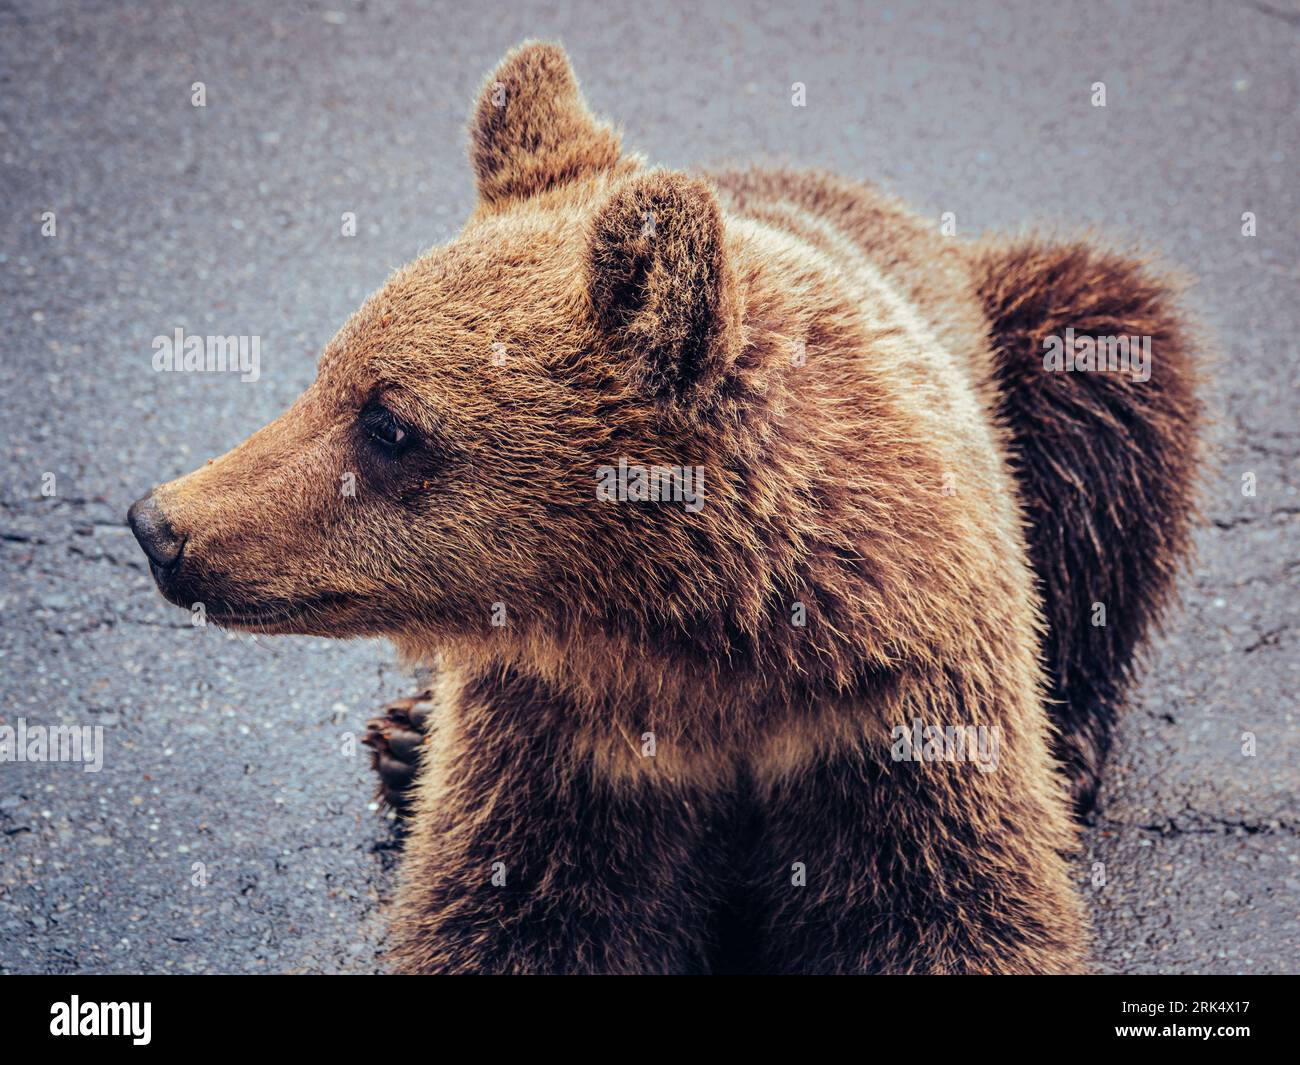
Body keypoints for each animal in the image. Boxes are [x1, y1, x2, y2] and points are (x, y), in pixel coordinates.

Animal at [128, 41, 1201, 974]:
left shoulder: (896, 714)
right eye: (325, 372)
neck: (695, 639)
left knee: (1114, 361)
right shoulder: (567, 739)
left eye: (388, 422)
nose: (162, 524)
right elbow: (521, 914)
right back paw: (404, 738)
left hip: (1029, 341)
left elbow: (946, 911)